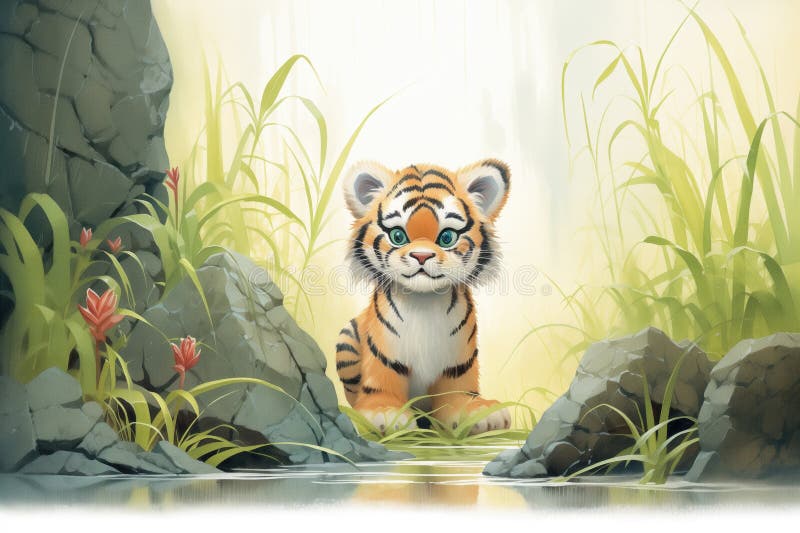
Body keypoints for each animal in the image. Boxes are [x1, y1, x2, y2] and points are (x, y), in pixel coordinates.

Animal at [335, 159, 512, 435]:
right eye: (398, 236)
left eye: (447, 237)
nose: (421, 255)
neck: (423, 300)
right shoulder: (384, 358)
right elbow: (382, 385)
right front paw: (384, 413)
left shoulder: (457, 363)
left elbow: (458, 393)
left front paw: (479, 413)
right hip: (347, 339)